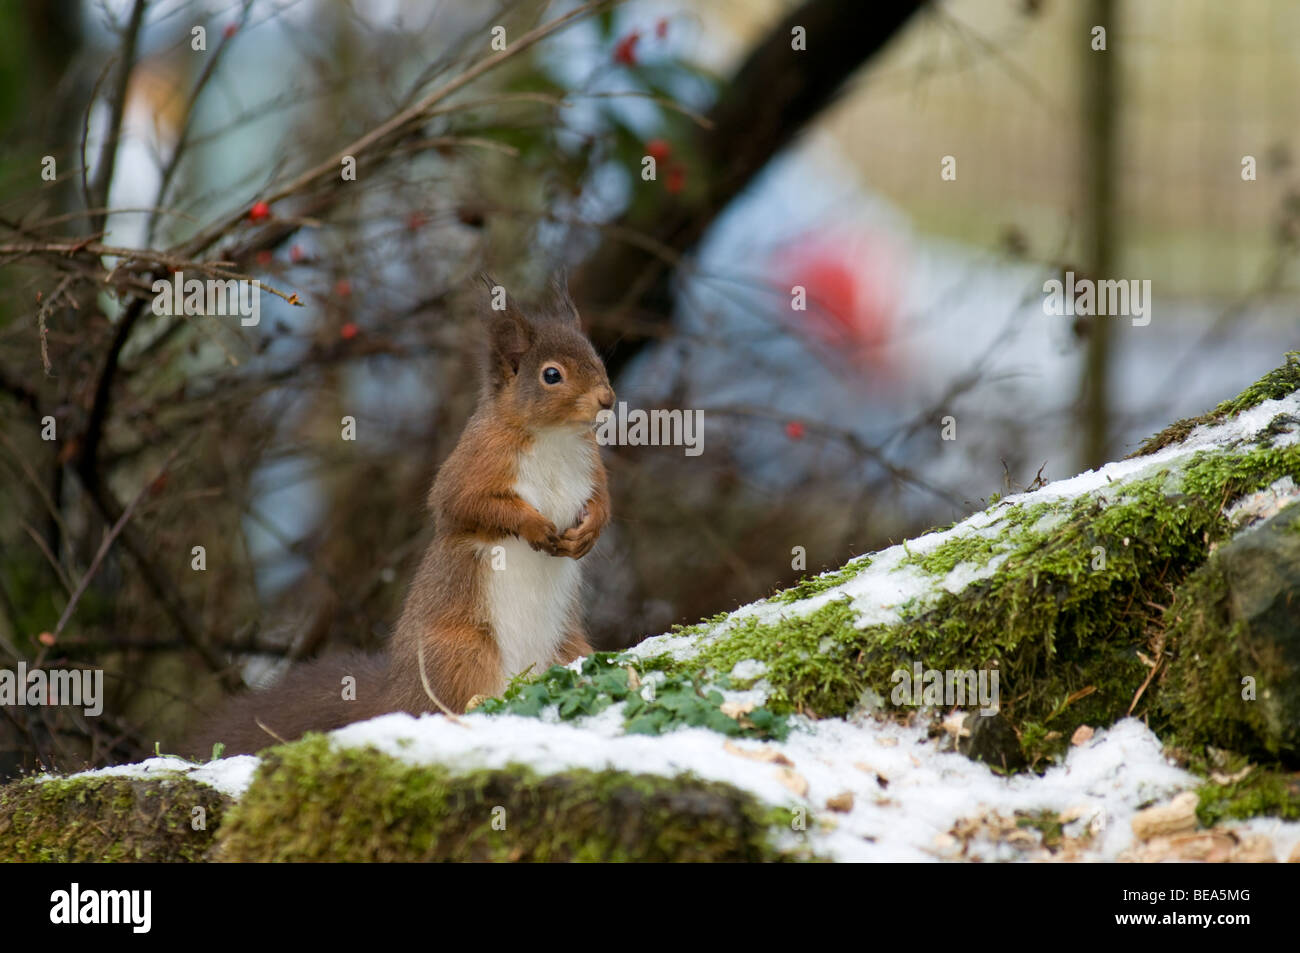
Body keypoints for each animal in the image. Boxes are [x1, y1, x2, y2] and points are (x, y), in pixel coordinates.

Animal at [184, 274, 614, 757]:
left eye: (596, 356)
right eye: (551, 375)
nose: (607, 398)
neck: (554, 438)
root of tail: (392, 699)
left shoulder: (590, 468)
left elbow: (603, 502)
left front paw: (589, 532)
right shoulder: (474, 465)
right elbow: (465, 506)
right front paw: (534, 526)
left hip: (570, 647)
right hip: (460, 653)